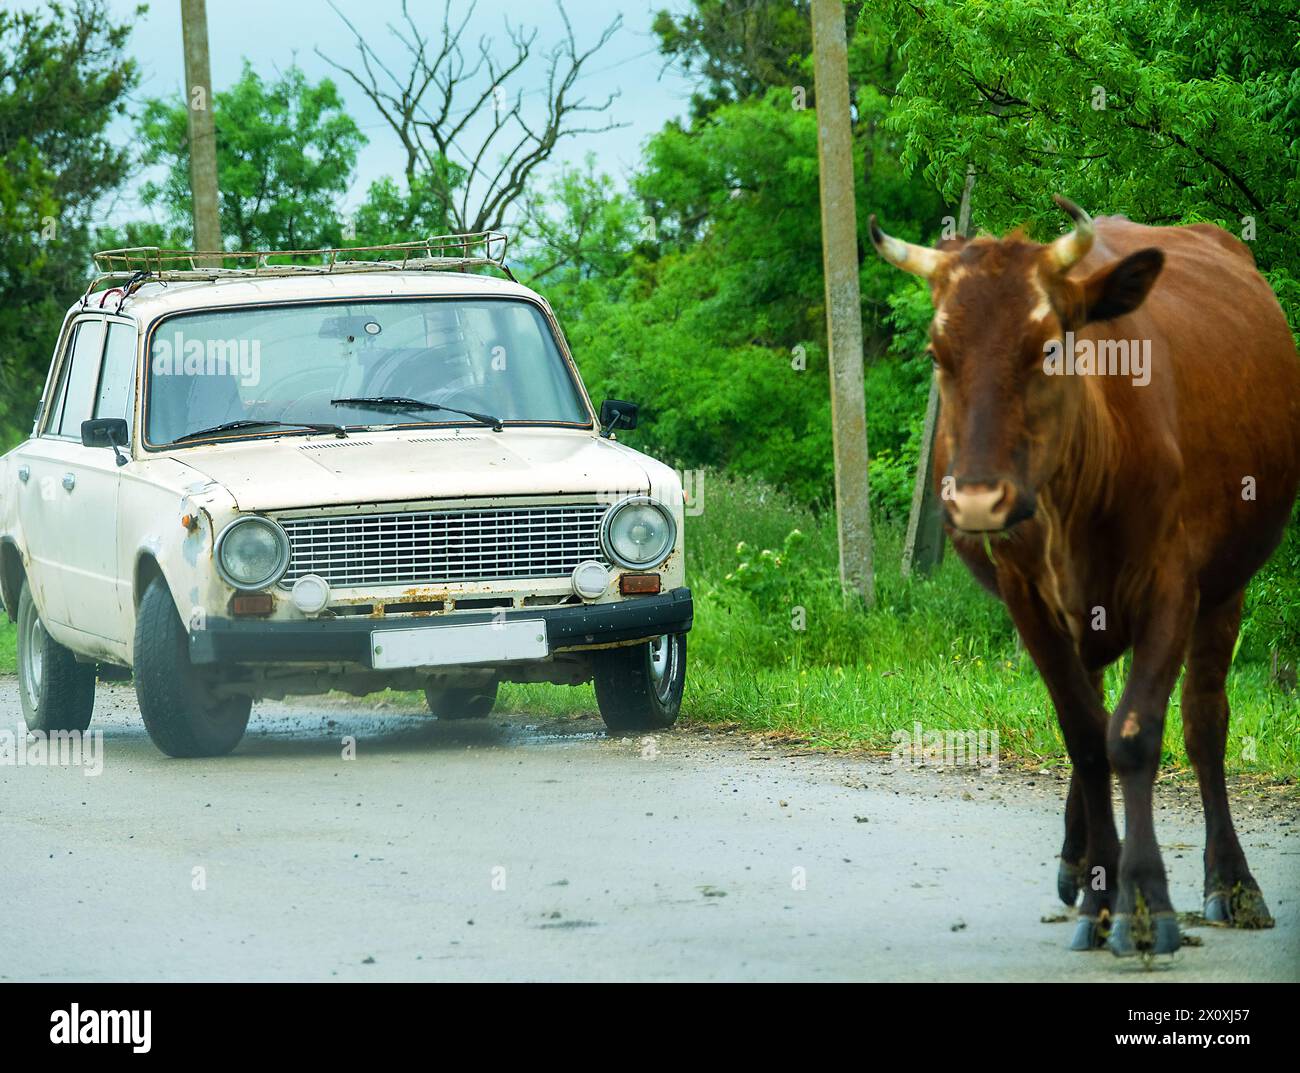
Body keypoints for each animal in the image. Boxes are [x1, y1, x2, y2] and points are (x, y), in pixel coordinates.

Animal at [869, 197, 1300, 955]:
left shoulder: (1173, 586)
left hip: (1227, 586)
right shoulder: (1028, 598)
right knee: (1092, 708)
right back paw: (1079, 862)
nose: (977, 500)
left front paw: (1145, 902)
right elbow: (1083, 738)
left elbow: (1133, 736)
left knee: (1204, 722)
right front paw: (1102, 897)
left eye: (1046, 346)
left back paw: (1232, 883)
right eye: (937, 354)